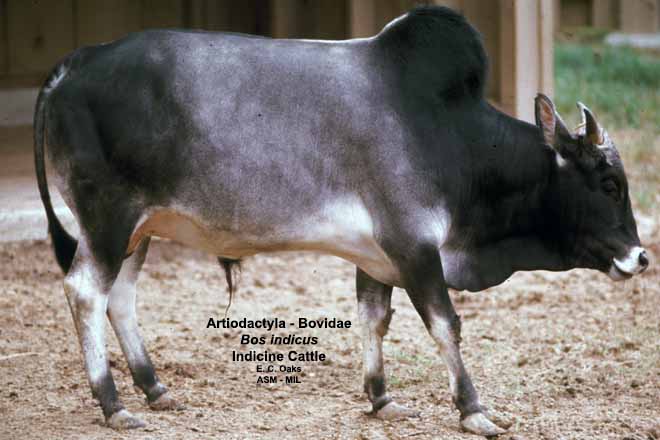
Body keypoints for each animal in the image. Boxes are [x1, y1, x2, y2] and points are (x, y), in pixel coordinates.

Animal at [34, 6, 648, 436]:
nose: (640, 257)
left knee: (119, 298)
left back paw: (155, 388)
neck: (447, 136)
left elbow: (373, 319)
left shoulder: (376, 256)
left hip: (137, 231)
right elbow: (445, 325)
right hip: (108, 222)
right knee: (85, 292)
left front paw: (382, 398)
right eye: (609, 183)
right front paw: (474, 410)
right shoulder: (416, 248)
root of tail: (77, 62)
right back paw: (113, 403)